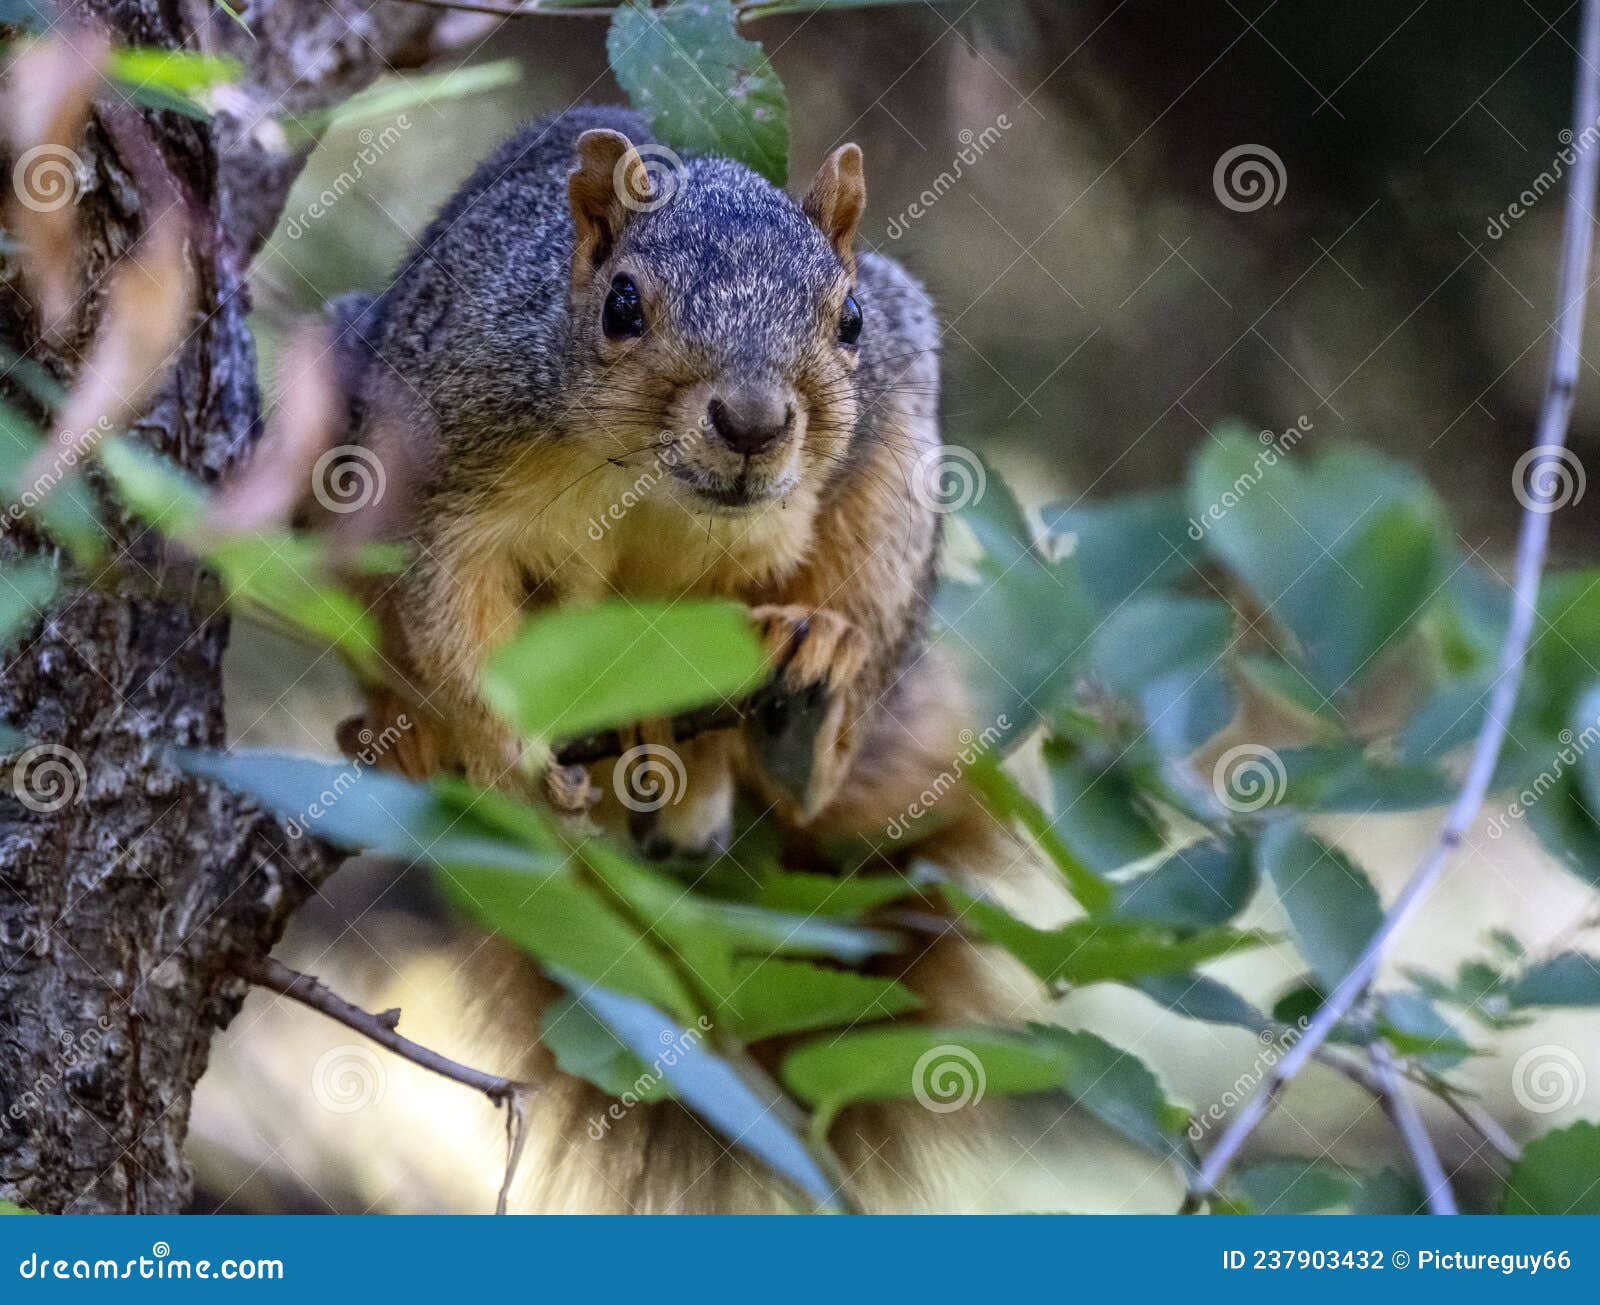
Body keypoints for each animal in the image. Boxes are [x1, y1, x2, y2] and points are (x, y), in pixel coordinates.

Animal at [318, 107, 1061, 1212]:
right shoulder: (441, 461)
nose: (753, 425)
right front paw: (509, 756)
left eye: (848, 322)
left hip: (894, 481)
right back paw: (403, 738)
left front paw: (760, 682)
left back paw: (782, 734)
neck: (646, 481)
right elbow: (455, 616)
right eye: (623, 305)